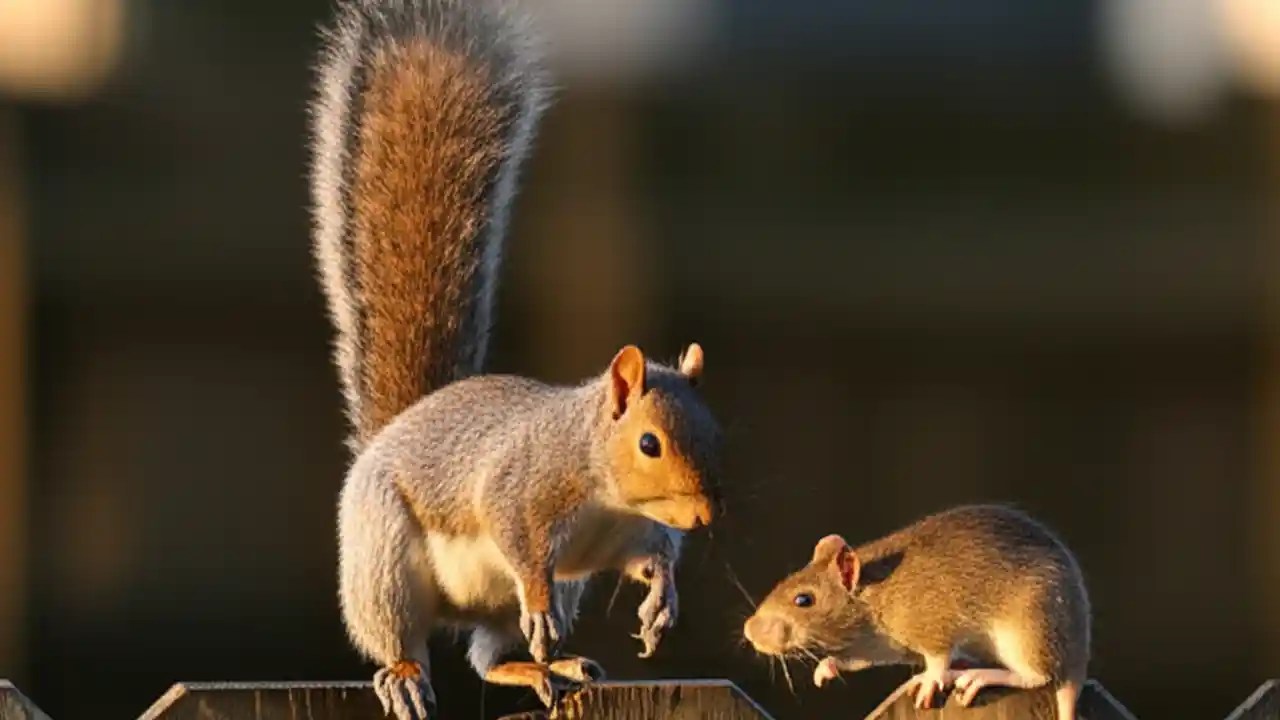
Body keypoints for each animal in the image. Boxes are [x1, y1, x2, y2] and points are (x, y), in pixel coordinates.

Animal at [307, 1, 725, 718]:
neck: (605, 490)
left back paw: (547, 666)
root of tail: (390, 433)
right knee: (401, 635)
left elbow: (651, 560)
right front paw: (544, 599)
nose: (702, 516)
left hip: (510, 607)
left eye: (715, 432)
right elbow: (517, 540)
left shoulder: (625, 538)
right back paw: (407, 675)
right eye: (649, 443)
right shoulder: (519, 487)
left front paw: (662, 599)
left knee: (489, 658)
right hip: (384, 563)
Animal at [742, 504, 1091, 720]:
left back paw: (976, 675)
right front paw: (826, 666)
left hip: (1026, 632)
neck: (872, 596)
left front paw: (931, 678)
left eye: (804, 600)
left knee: (1036, 676)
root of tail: (1077, 663)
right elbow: (854, 661)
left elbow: (937, 658)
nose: (749, 631)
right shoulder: (875, 647)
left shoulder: (932, 628)